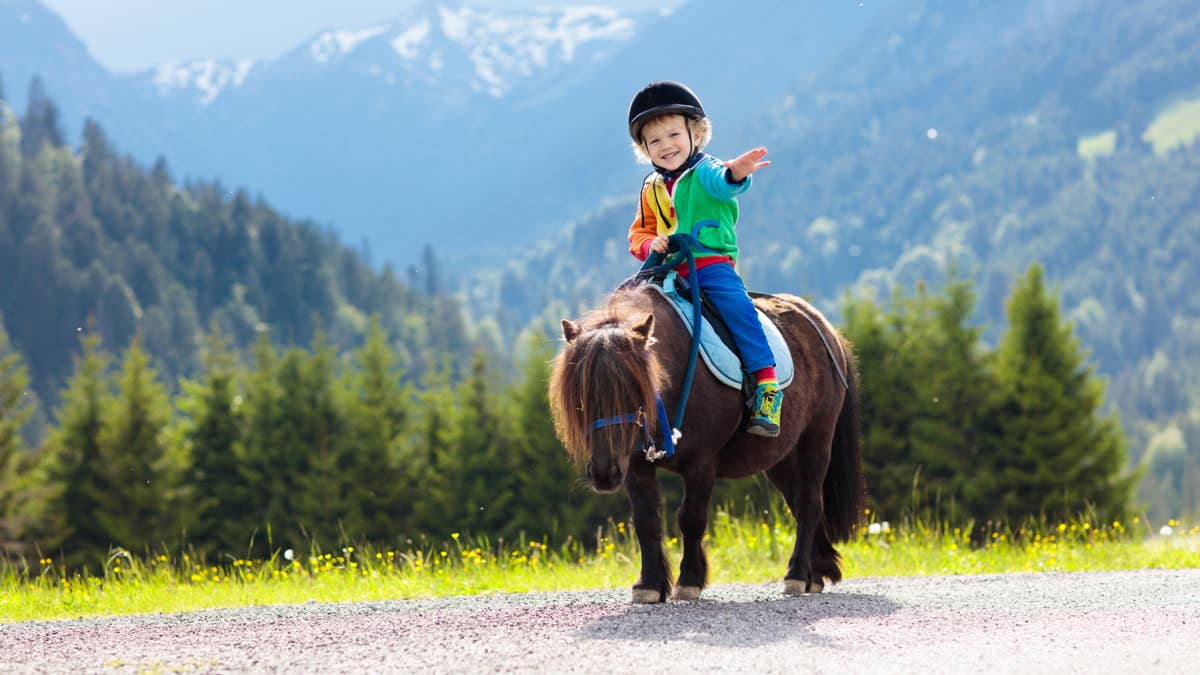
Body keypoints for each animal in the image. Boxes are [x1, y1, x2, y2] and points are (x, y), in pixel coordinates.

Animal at [549, 283, 865, 603]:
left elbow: (691, 517)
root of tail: (826, 330)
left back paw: (797, 574)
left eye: (633, 392)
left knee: (810, 502)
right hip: (782, 458)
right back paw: (816, 572)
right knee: (799, 503)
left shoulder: (701, 461)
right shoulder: (635, 464)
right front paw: (649, 583)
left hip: (817, 439)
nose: (604, 473)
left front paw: (689, 580)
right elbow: (646, 520)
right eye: (580, 396)